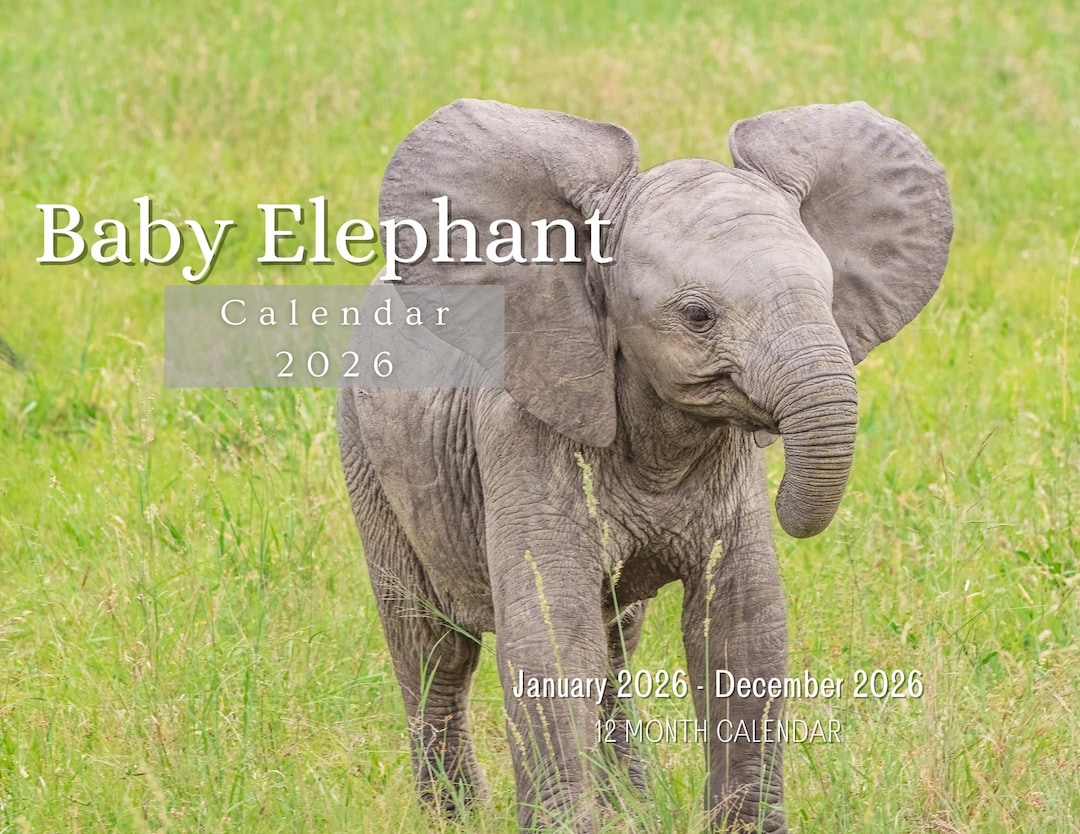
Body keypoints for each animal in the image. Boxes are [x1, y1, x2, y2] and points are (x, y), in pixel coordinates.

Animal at [337, 98, 952, 832]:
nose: (786, 495)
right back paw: (452, 817)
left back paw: (629, 805)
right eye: (699, 316)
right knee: (433, 650)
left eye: (829, 294)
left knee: (616, 642)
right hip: (365, 451)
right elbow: (551, 631)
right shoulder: (525, 434)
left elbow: (743, 627)